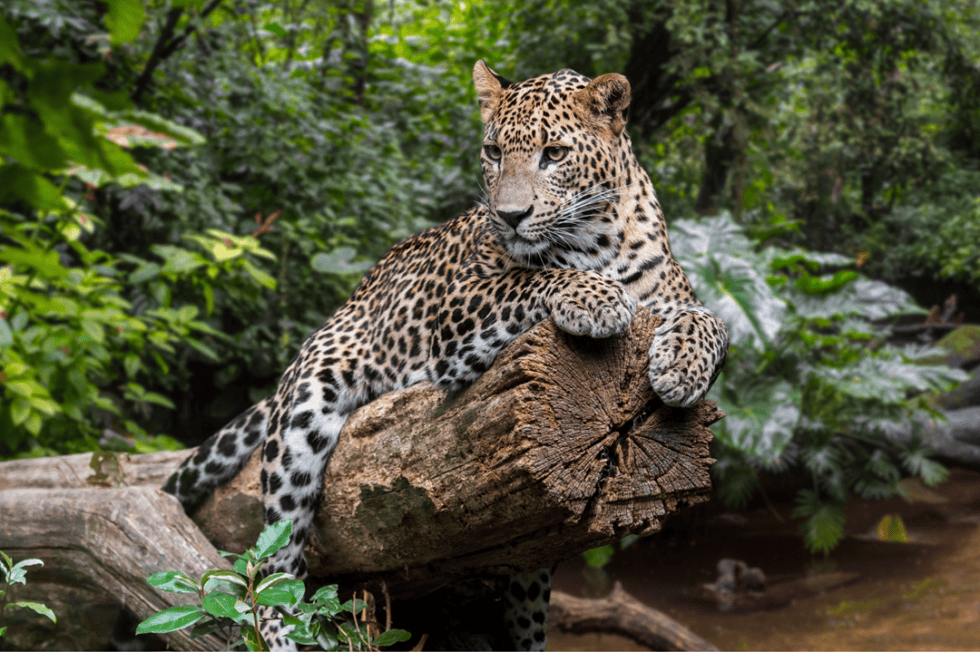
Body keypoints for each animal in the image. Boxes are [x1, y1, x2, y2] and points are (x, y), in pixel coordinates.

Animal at [163, 61, 729, 650]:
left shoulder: (674, 298)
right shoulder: (458, 308)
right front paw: (595, 298)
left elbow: (711, 320)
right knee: (275, 567)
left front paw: (681, 369)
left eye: (554, 153)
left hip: (530, 556)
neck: (598, 241)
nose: (509, 215)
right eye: (494, 151)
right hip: (304, 412)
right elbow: (529, 279)